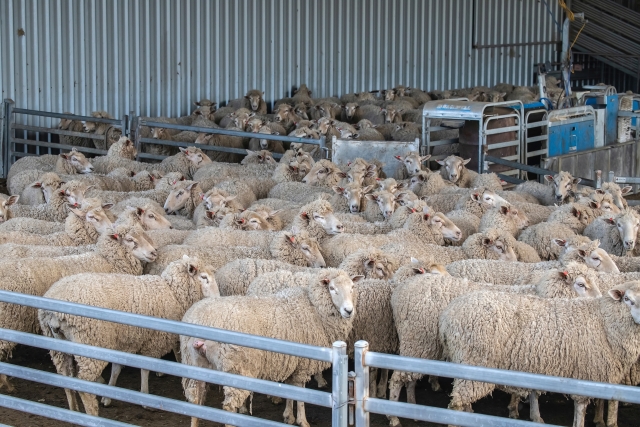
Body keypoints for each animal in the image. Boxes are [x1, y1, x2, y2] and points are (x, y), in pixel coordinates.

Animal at [38, 255, 207, 415]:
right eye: (204, 277)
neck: (172, 293)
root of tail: (54, 314)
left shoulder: (124, 341)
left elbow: (116, 368)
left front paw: (108, 396)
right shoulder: (152, 342)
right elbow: (145, 369)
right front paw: (145, 398)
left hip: (57, 347)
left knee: (65, 377)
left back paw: (73, 411)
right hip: (90, 344)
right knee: (83, 383)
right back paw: (92, 415)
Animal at [180, 269, 360, 427]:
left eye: (352, 287)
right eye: (332, 288)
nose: (348, 310)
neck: (314, 308)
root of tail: (202, 321)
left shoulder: (291, 362)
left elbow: (289, 390)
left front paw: (288, 416)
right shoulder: (303, 365)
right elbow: (300, 393)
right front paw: (302, 420)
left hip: (194, 363)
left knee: (195, 400)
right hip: (236, 367)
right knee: (228, 407)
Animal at [438, 282, 640, 426]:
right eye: (627, 299)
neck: (604, 322)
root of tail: (447, 315)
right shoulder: (586, 375)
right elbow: (581, 410)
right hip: (474, 363)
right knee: (455, 404)